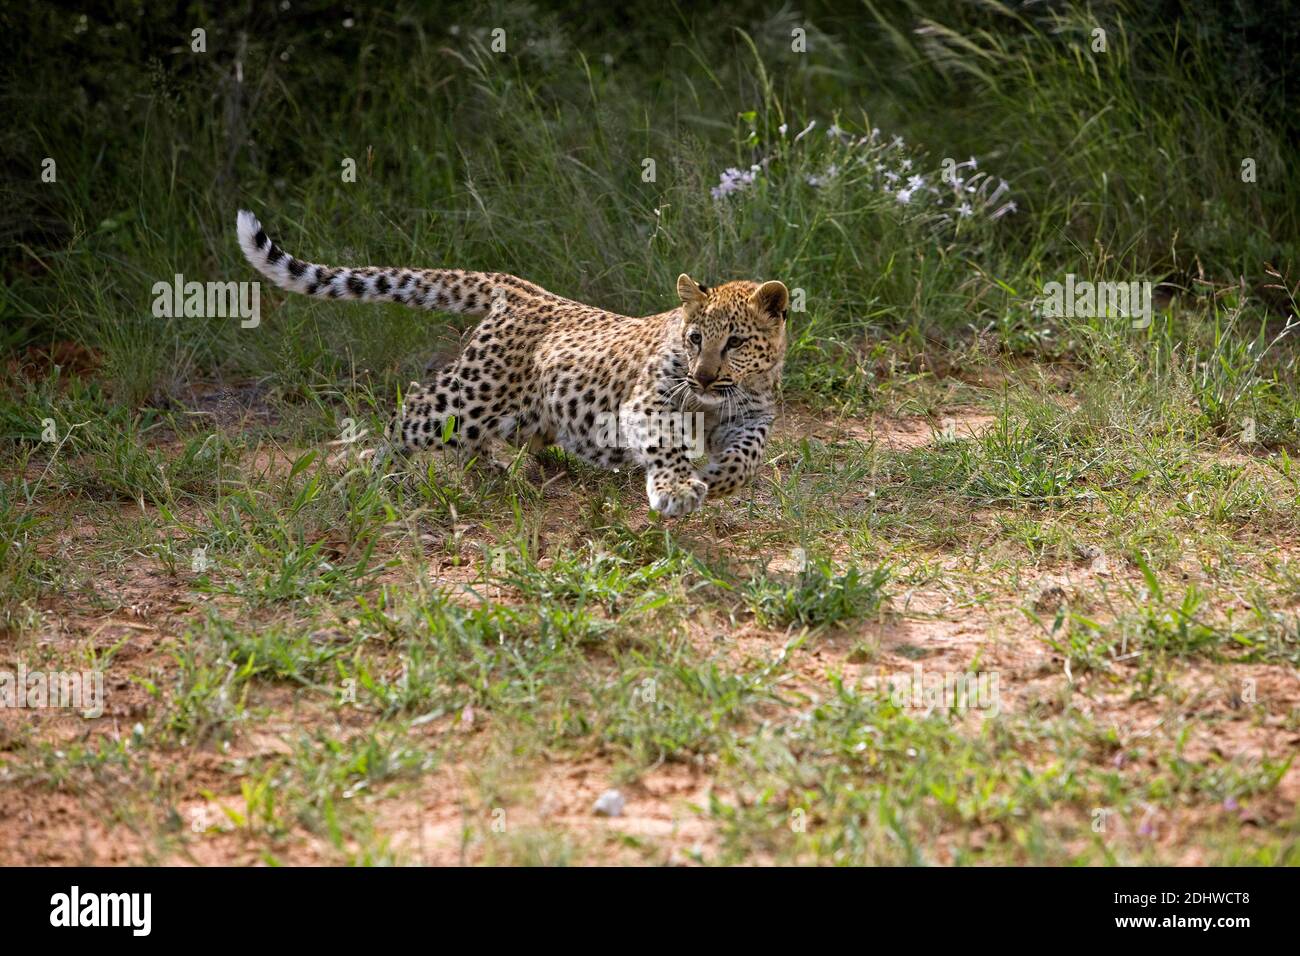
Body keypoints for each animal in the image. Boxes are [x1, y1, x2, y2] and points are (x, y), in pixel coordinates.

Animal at [236, 209, 789, 517]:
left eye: (735, 343)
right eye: (695, 339)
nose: (703, 377)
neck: (716, 400)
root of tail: (523, 289)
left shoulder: (752, 415)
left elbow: (748, 454)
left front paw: (720, 478)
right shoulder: (648, 402)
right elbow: (667, 445)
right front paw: (677, 489)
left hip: (520, 415)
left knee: (472, 439)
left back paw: (496, 474)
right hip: (470, 397)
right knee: (413, 409)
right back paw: (376, 477)